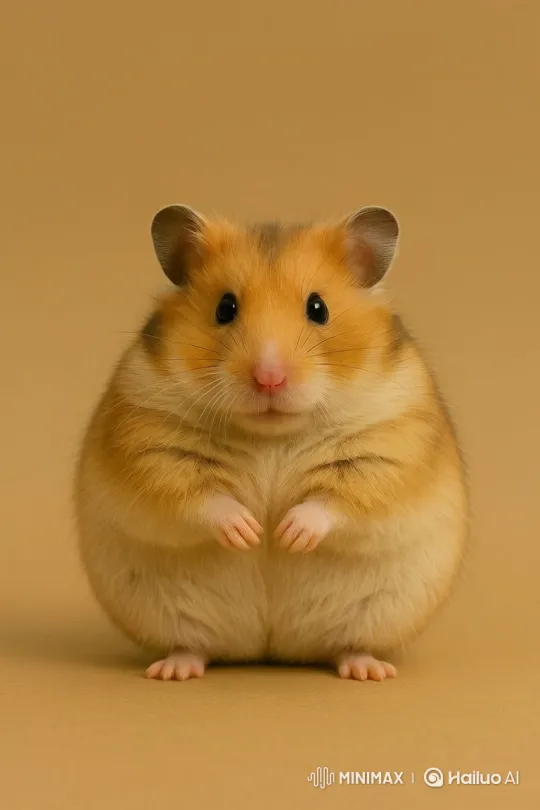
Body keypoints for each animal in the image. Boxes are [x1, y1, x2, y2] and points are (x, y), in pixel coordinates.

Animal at [74, 203, 468, 682]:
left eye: (318, 308)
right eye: (225, 308)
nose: (269, 378)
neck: (273, 434)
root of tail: (271, 648)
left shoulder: (389, 450)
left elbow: (335, 501)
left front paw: (286, 536)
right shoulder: (148, 442)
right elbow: (200, 496)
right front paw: (250, 532)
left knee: (348, 646)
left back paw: (369, 671)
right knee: (193, 646)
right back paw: (173, 670)